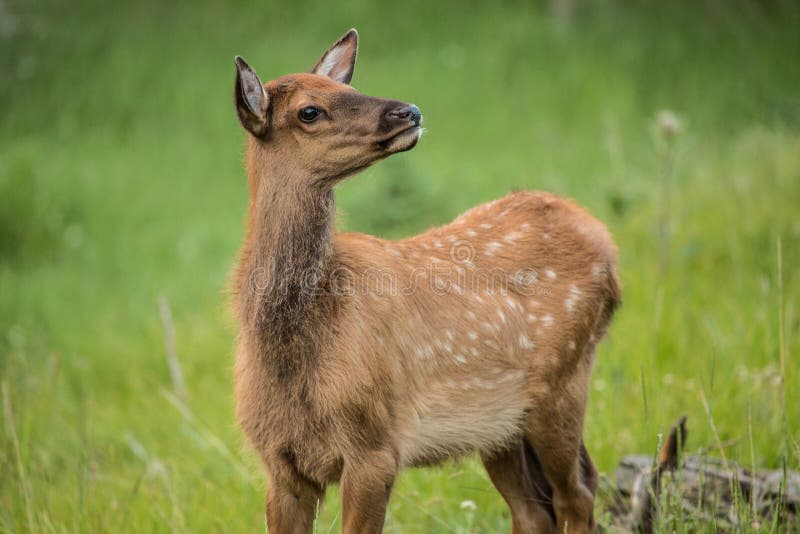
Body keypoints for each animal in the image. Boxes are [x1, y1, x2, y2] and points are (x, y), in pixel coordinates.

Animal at [230, 29, 621, 534]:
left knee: (579, 494)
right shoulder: (281, 465)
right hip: (500, 427)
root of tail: (602, 237)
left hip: (563, 380)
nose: (409, 111)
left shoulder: (376, 446)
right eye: (309, 111)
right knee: (537, 509)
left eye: (350, 88)